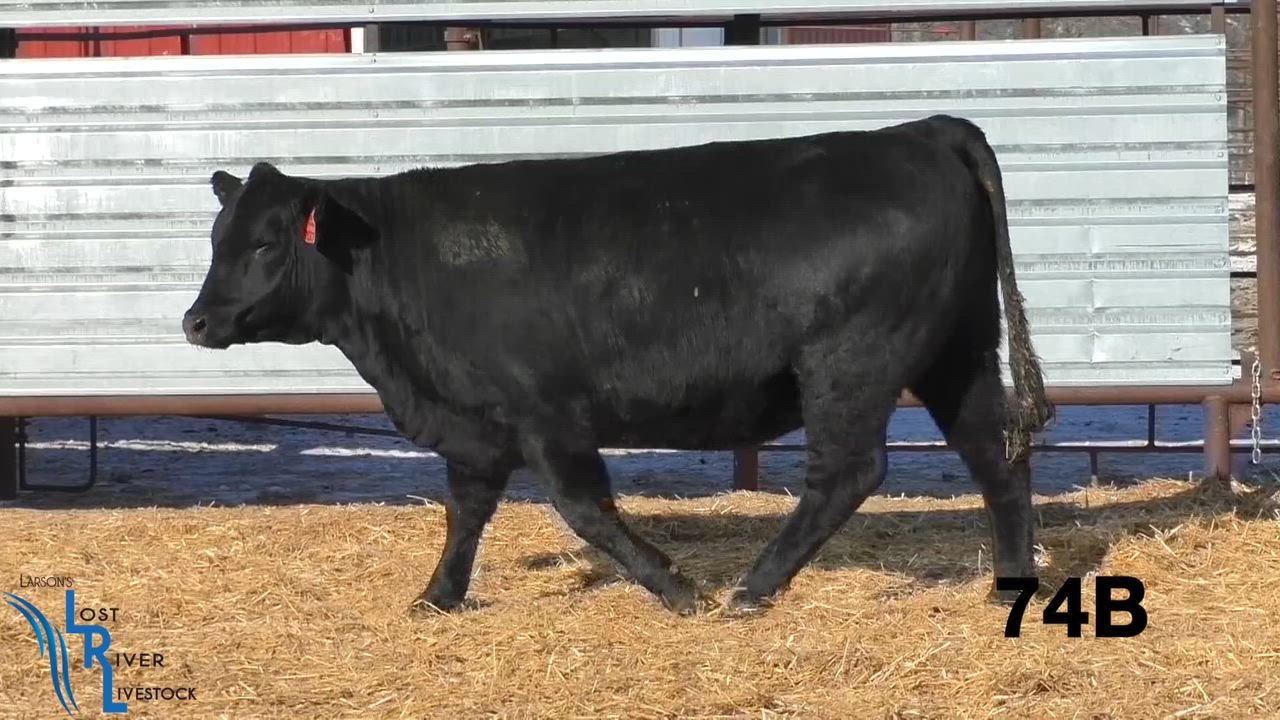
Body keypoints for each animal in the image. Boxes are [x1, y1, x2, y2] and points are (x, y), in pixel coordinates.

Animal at [183, 114, 1053, 615]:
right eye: (218, 237)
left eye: (265, 241)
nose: (196, 321)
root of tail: (916, 132)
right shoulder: (477, 423)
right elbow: (466, 511)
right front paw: (437, 596)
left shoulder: (546, 412)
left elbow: (585, 509)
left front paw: (677, 588)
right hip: (957, 352)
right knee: (995, 454)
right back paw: (1008, 582)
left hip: (850, 362)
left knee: (848, 471)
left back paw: (751, 590)